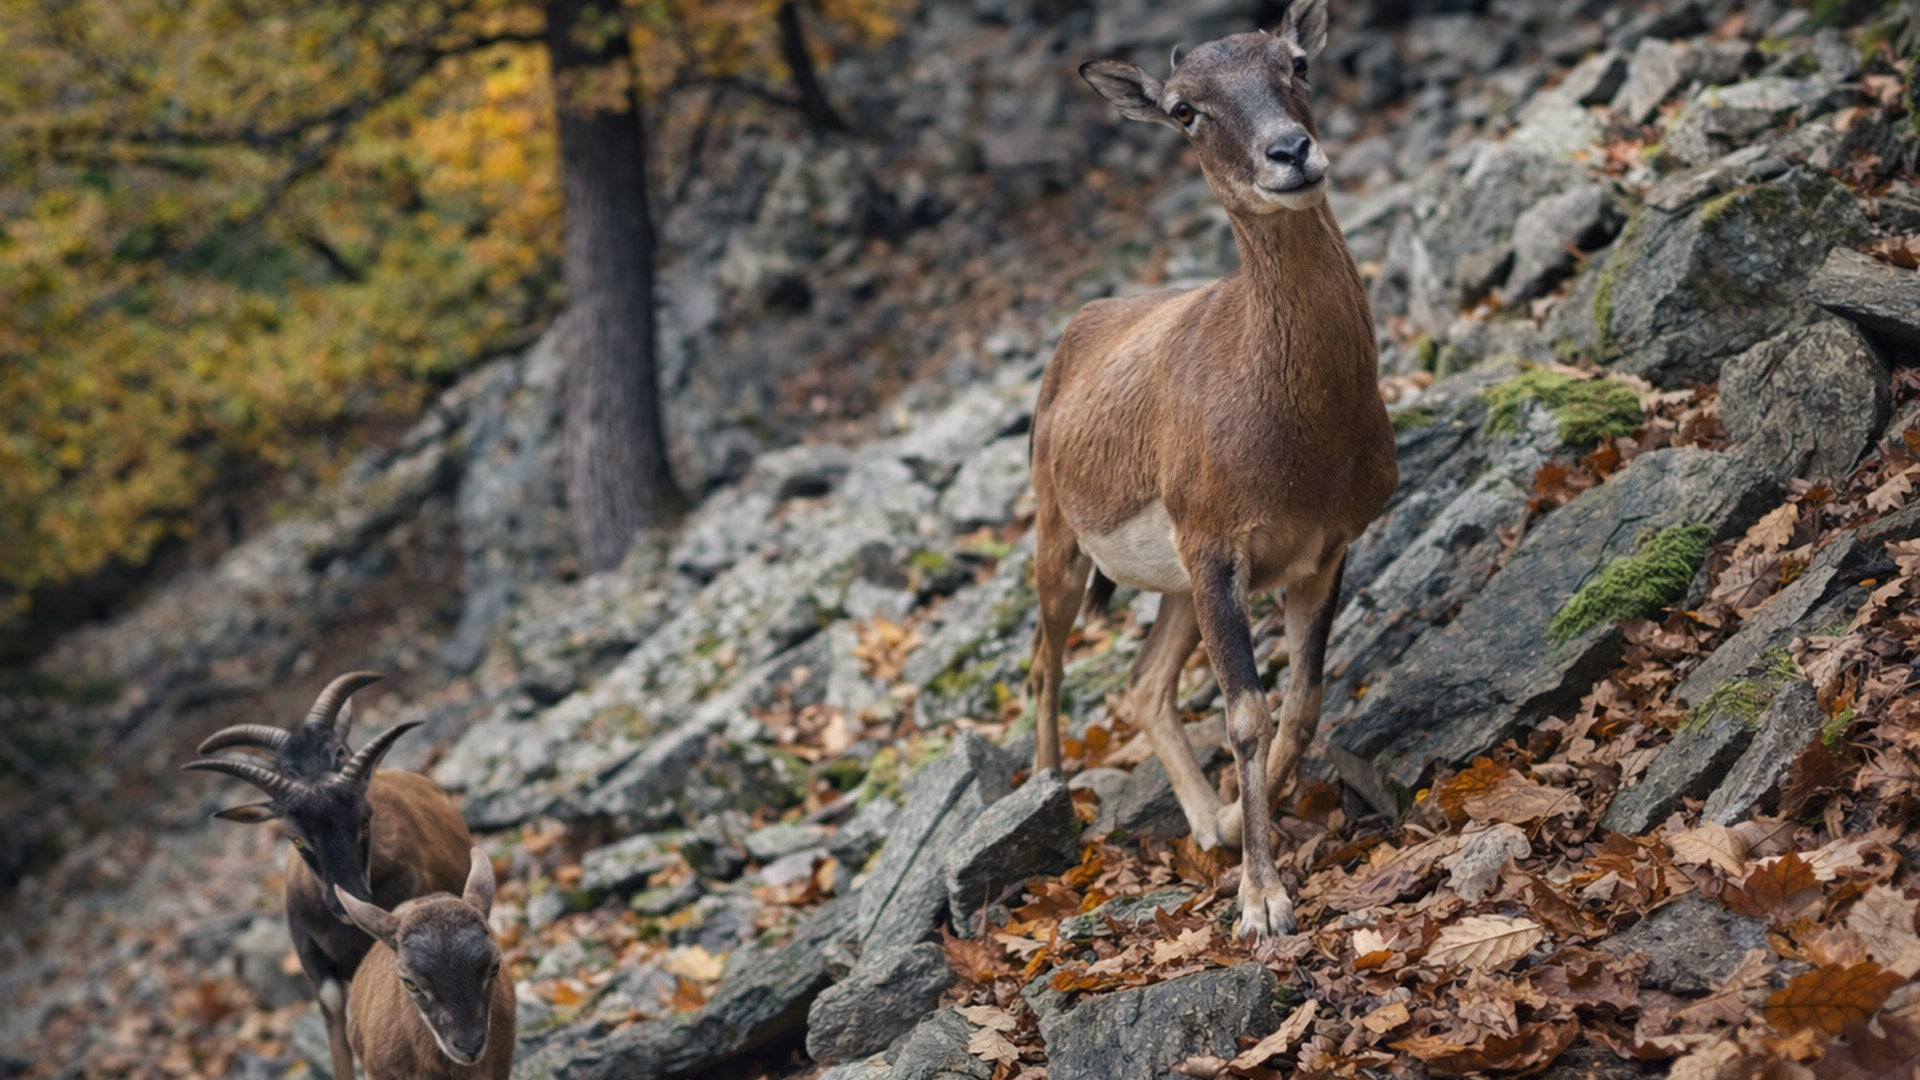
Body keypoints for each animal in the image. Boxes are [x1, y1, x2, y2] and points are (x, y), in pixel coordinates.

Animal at [1030, 0, 1397, 939]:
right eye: (1185, 109)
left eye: (1295, 62)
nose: (1290, 152)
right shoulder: (1216, 546)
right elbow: (1245, 713)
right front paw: (1263, 904)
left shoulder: (1319, 549)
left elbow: (1300, 701)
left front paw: (1237, 822)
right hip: (1060, 538)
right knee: (1049, 660)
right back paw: (1049, 796)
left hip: (1175, 586)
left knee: (1142, 682)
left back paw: (1204, 822)